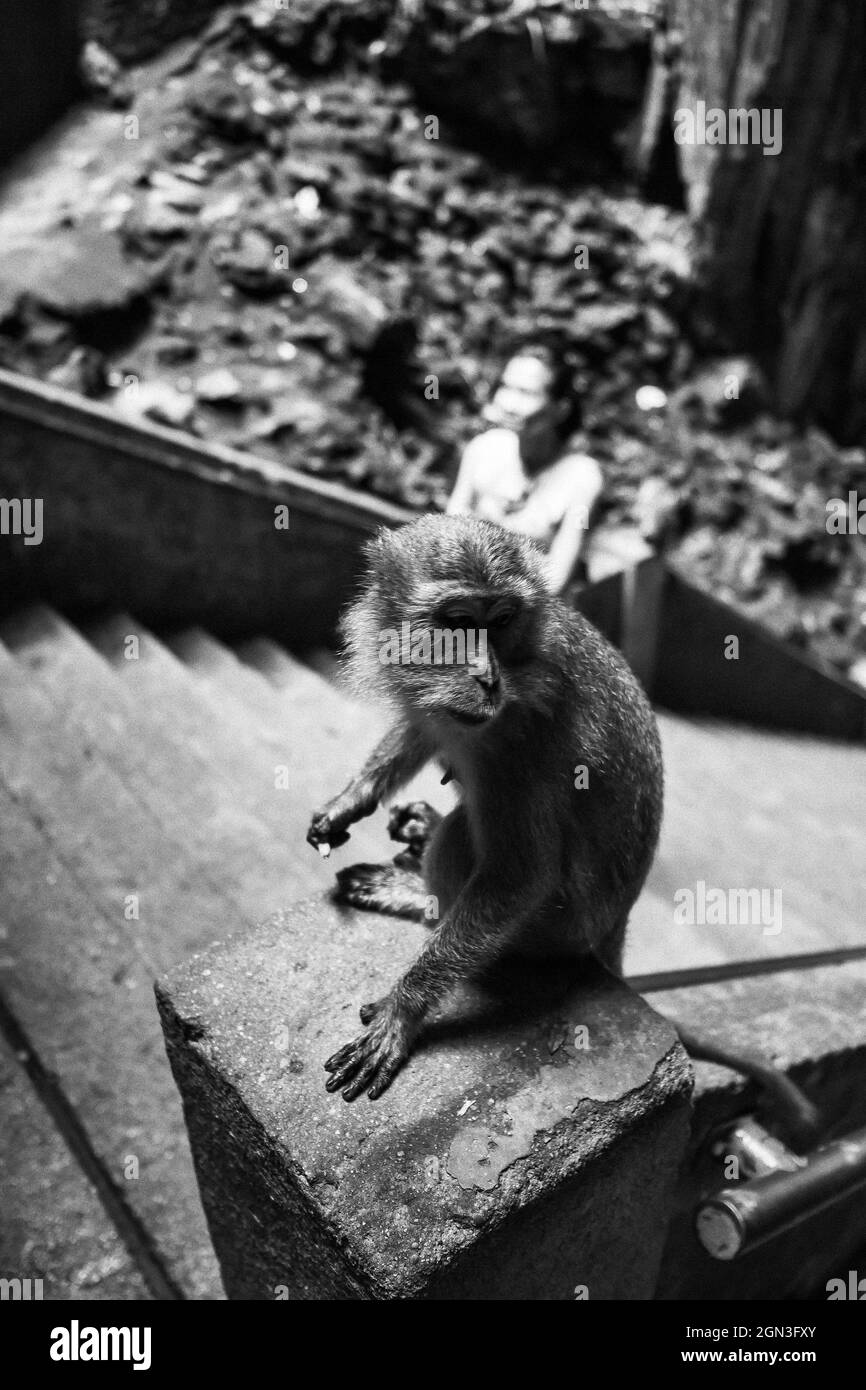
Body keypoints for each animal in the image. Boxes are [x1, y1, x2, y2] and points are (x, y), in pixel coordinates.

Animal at [307, 514, 819, 1139]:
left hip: (555, 930)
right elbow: (421, 729)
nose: (486, 679)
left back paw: (419, 890)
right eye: (458, 623)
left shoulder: (522, 747)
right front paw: (350, 800)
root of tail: (612, 929)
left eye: (501, 621)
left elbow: (519, 878)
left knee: (466, 843)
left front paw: (405, 1010)